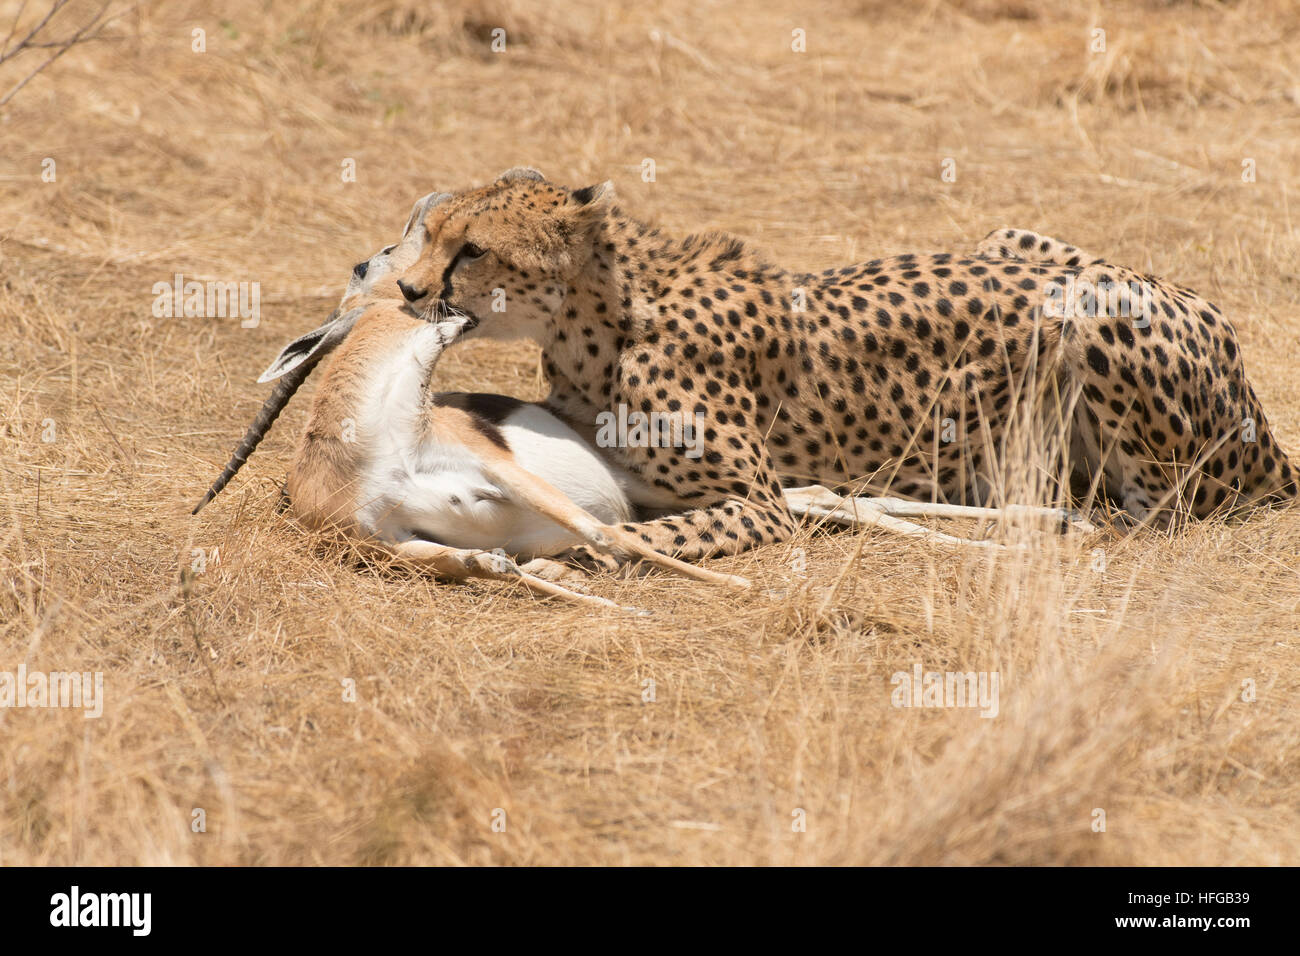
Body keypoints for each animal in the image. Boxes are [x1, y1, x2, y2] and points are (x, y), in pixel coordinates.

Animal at [392, 166, 1296, 568]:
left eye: (471, 249)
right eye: (430, 231)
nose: (404, 288)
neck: (599, 320)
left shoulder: (755, 503)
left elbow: (627, 534)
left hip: (1095, 310)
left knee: (1153, 513)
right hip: (1009, 238)